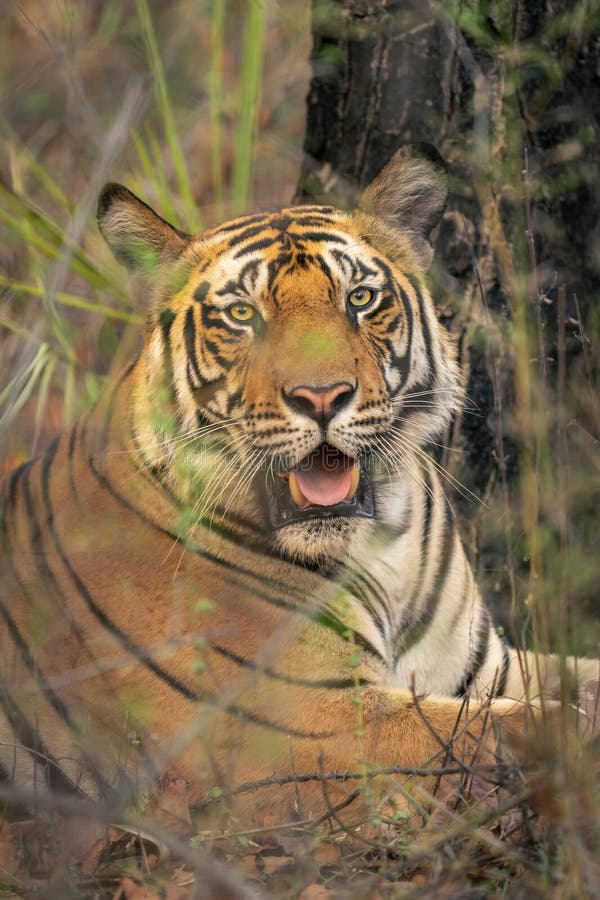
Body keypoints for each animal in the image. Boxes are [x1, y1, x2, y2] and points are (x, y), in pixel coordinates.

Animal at [0, 145, 596, 834]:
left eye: (360, 298)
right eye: (242, 314)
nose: (321, 397)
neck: (382, 541)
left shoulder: (482, 668)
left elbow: (579, 688)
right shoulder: (301, 725)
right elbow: (541, 729)